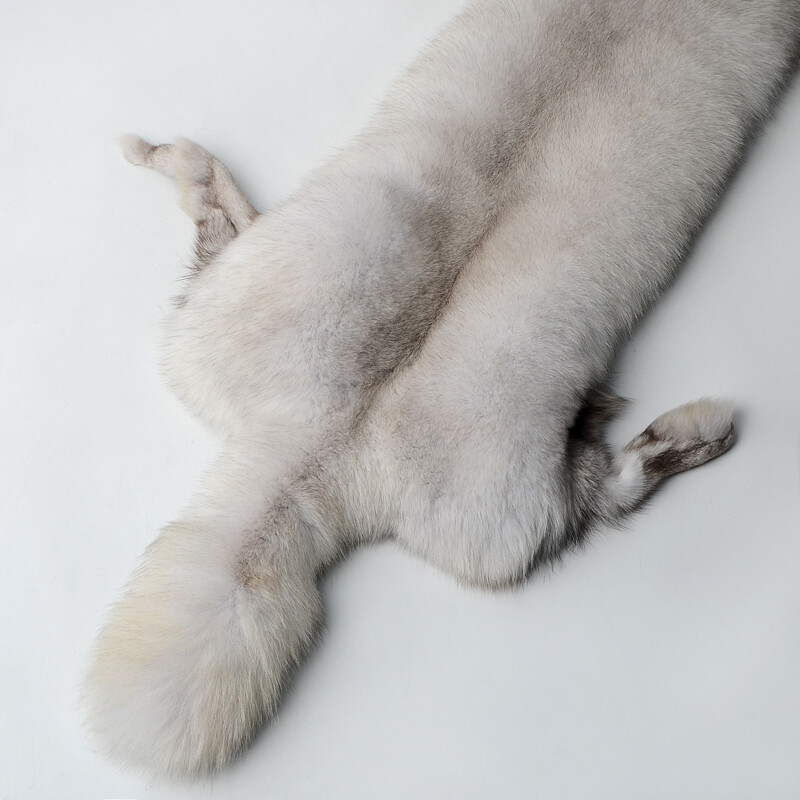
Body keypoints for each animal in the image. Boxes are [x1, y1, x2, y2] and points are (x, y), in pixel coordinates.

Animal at [84, 0, 800, 779]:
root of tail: (325, 442)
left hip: (326, 241)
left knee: (210, 273)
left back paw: (189, 174)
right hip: (510, 479)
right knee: (598, 499)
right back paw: (690, 430)